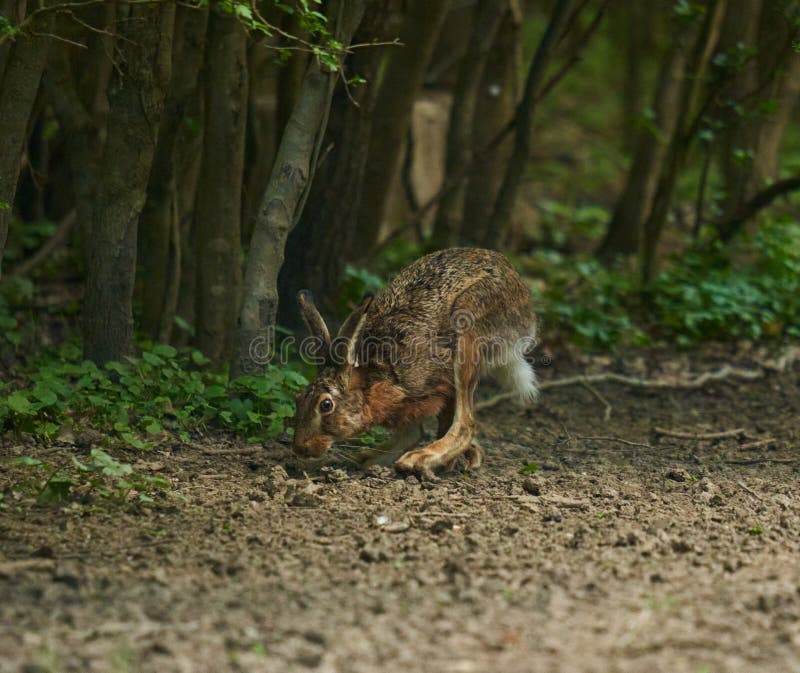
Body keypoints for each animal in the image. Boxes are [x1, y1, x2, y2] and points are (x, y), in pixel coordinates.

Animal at [291, 247, 538, 476]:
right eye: (298, 399)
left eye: (326, 404)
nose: (300, 448)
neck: (373, 379)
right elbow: (410, 434)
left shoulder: (439, 385)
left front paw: (442, 464)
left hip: (468, 325)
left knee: (466, 423)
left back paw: (419, 460)